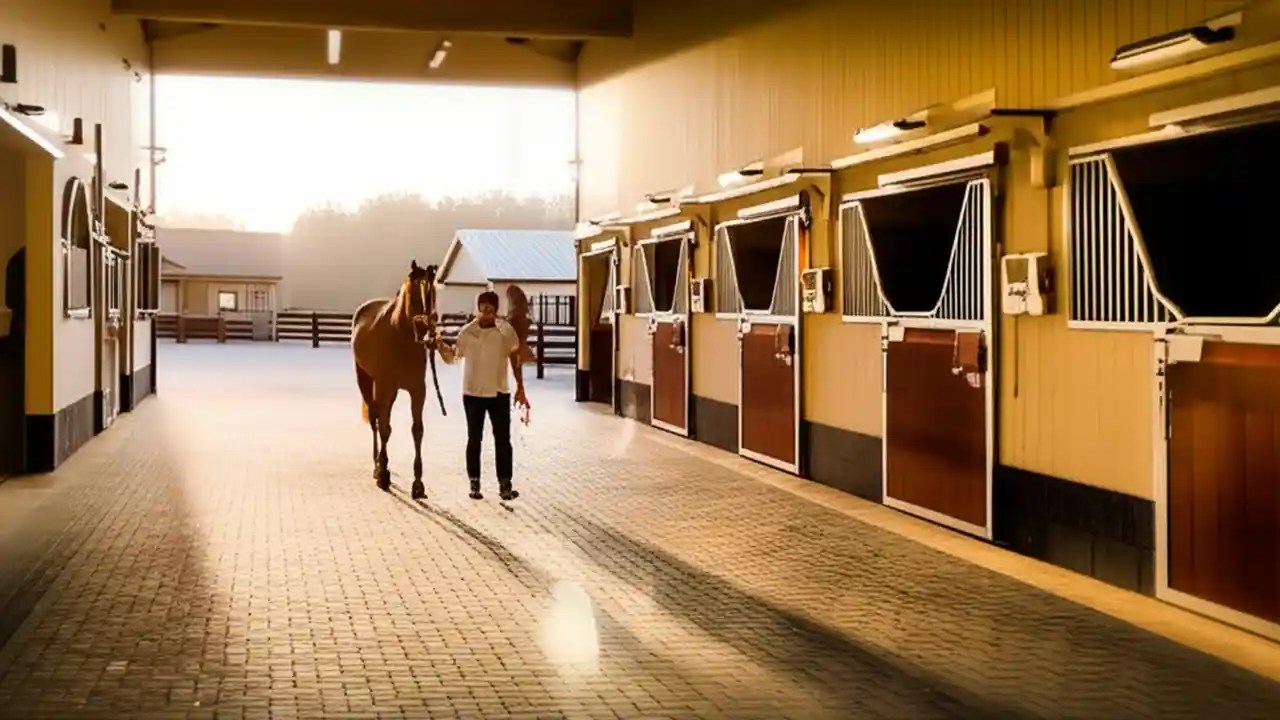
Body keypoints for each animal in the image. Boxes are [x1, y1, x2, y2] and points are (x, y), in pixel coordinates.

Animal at [351, 260, 447, 500]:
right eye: (412, 292)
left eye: (433, 294)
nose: (424, 329)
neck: (402, 337)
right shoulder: (384, 387)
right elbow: (385, 428)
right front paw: (383, 474)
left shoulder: (418, 390)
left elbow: (417, 430)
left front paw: (418, 483)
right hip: (367, 381)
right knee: (375, 419)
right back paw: (376, 466)